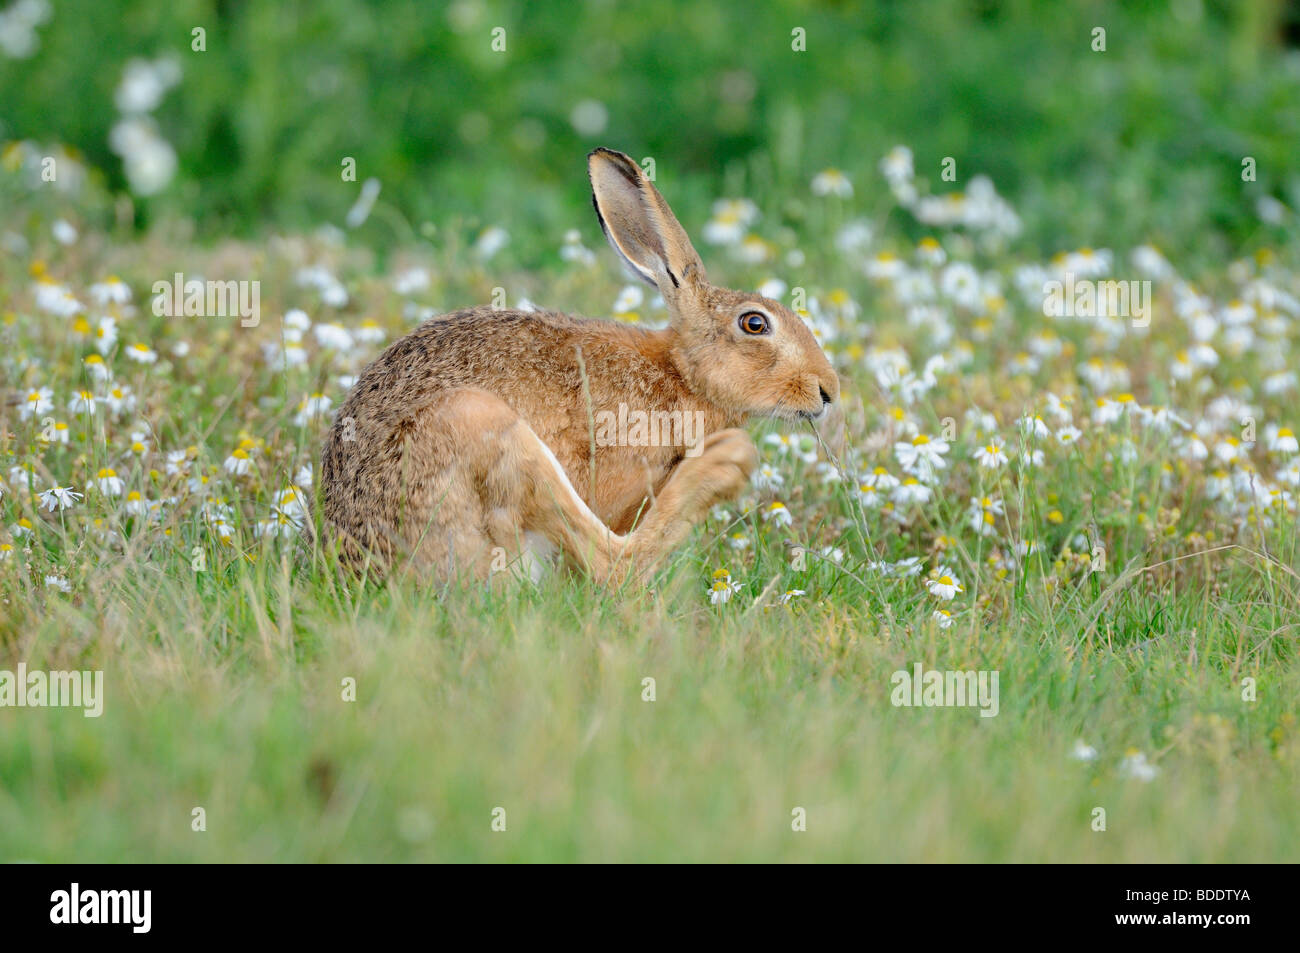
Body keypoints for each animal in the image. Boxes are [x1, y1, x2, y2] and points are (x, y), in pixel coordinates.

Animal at [318, 147, 839, 586]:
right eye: (755, 323)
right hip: (480, 425)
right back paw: (727, 462)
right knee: (617, 565)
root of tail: (364, 568)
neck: (681, 375)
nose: (828, 390)